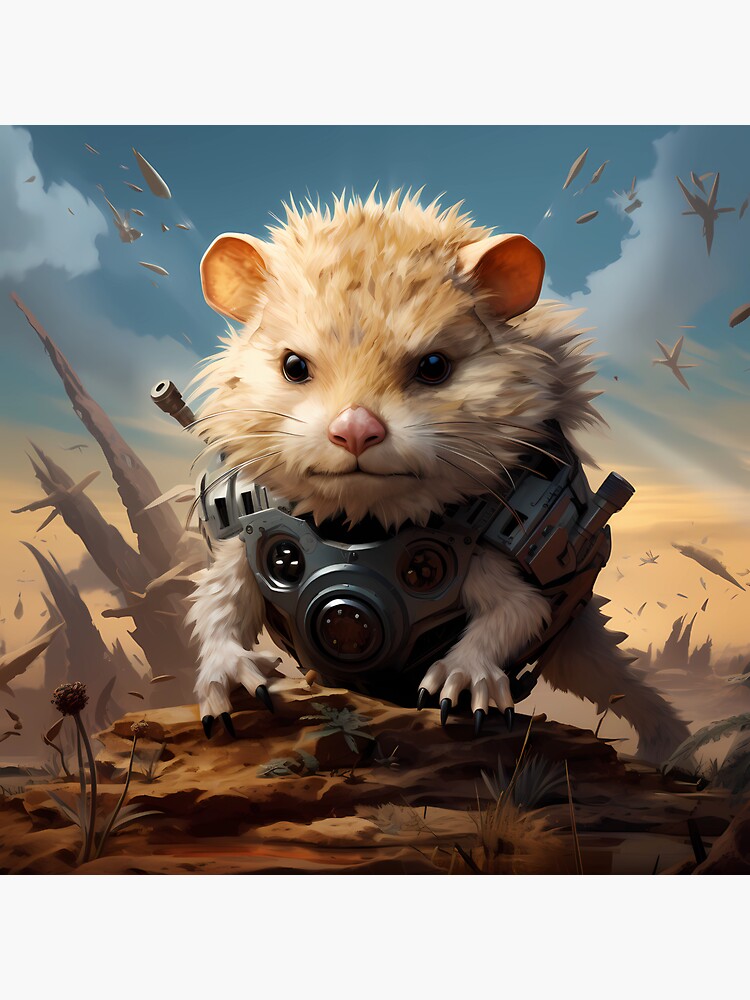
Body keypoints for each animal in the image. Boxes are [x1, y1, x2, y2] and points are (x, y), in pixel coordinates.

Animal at [186, 189, 690, 761]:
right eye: (293, 365)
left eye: (433, 366)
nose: (355, 430)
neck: (362, 524)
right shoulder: (254, 535)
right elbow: (218, 598)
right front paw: (231, 677)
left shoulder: (482, 548)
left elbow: (517, 611)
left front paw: (464, 679)